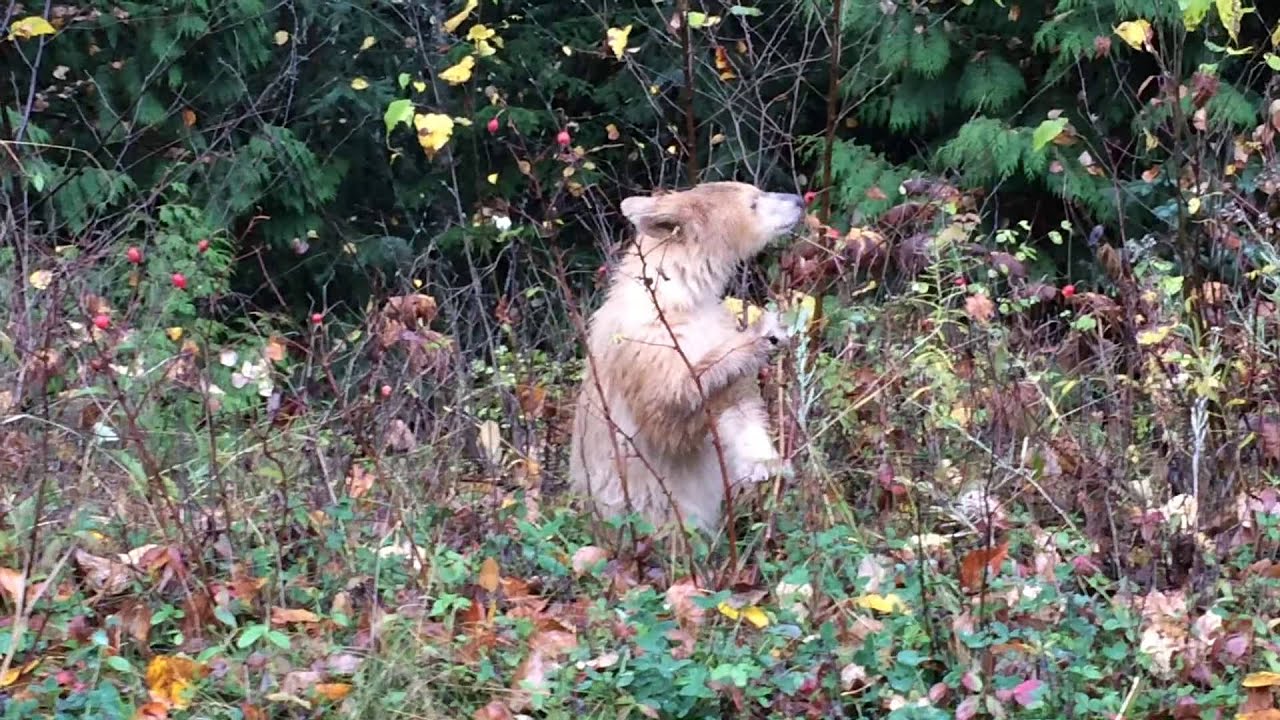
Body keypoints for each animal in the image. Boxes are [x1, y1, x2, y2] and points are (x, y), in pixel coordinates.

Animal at [568, 181, 806, 534]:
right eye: (753, 202)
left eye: (756, 190)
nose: (798, 200)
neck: (676, 295)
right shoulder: (648, 343)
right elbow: (670, 405)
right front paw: (764, 331)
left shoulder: (712, 321)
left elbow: (736, 405)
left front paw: (766, 464)